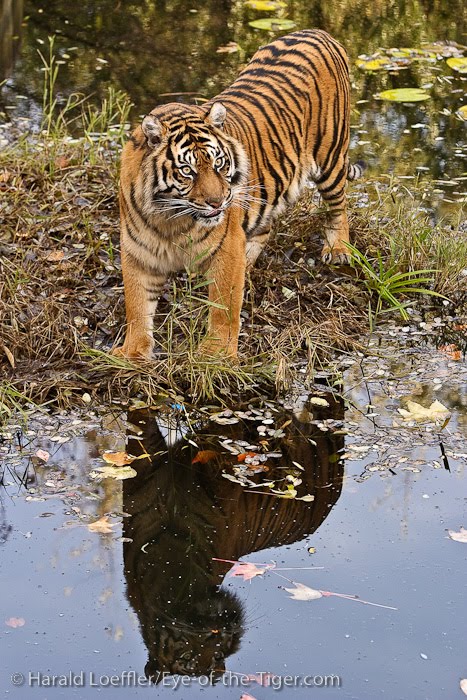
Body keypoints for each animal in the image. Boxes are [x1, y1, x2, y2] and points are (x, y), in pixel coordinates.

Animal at [113, 29, 361, 361]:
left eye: (218, 163)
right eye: (187, 171)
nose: (218, 202)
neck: (170, 218)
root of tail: (317, 32)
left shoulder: (225, 247)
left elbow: (223, 306)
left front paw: (215, 353)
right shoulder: (138, 254)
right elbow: (137, 306)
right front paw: (132, 351)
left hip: (330, 156)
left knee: (338, 206)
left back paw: (339, 249)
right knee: (264, 227)